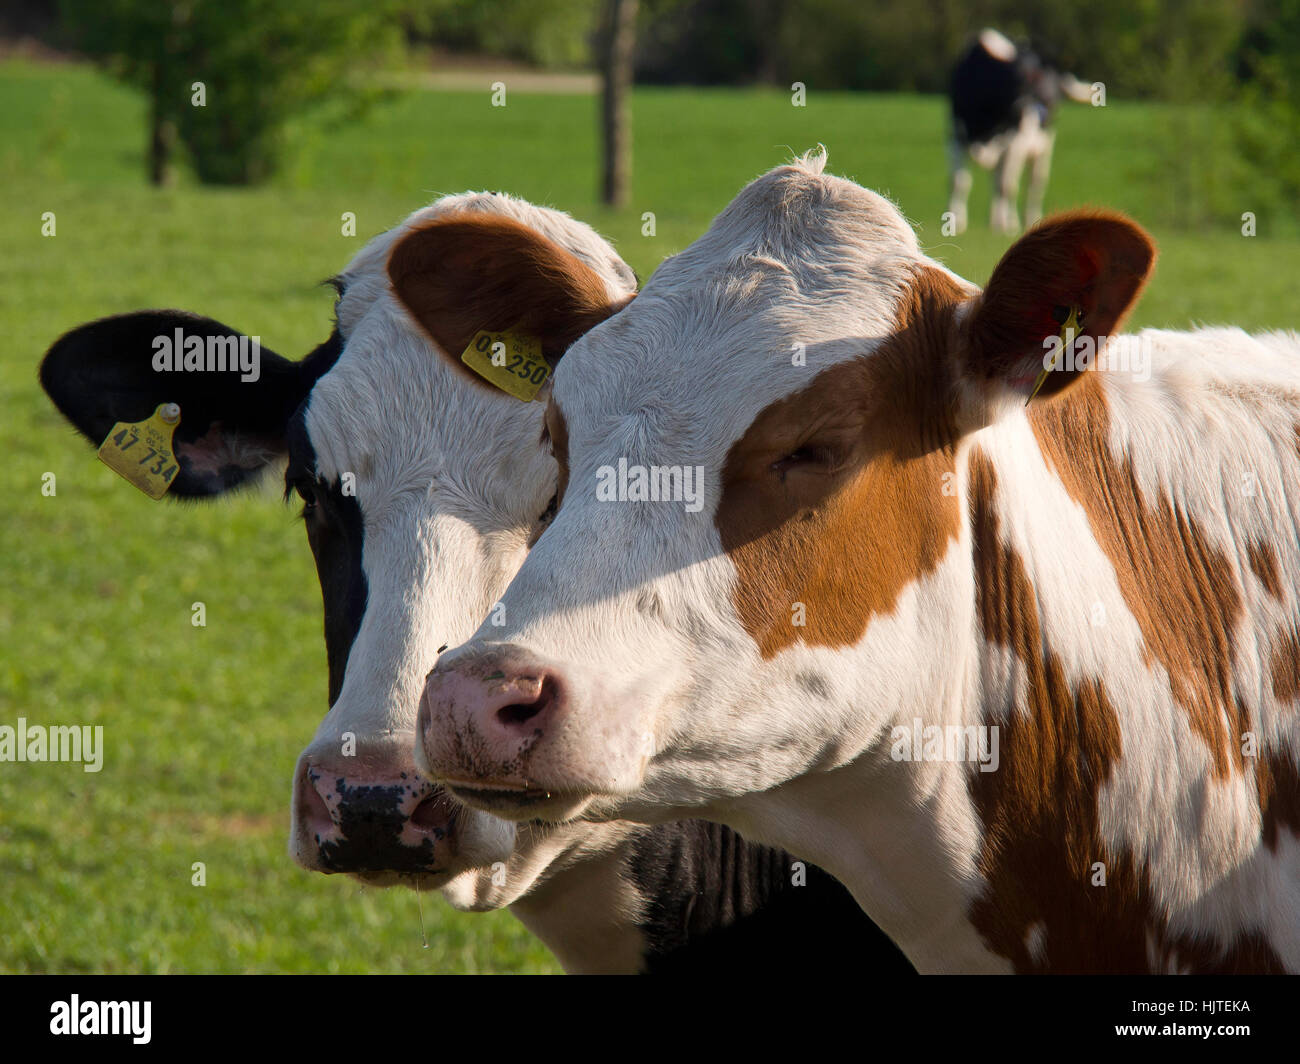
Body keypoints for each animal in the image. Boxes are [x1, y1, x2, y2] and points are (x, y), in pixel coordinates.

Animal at [947, 28, 1093, 235]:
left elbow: (1006, 186)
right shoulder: (956, 135)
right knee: (998, 180)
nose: (1039, 111)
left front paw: (1002, 224)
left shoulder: (1015, 143)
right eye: (1021, 83)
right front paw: (957, 221)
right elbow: (958, 181)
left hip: (1043, 146)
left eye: (1033, 82)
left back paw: (1024, 219)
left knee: (1033, 183)